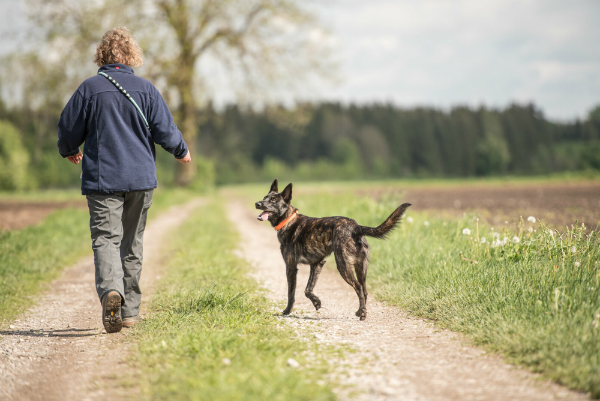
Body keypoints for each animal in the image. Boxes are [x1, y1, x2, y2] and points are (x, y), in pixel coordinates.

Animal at [255, 180, 410, 320]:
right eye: (264, 197)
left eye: (273, 200)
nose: (257, 204)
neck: (288, 220)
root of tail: (356, 227)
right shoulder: (317, 264)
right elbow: (308, 289)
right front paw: (316, 302)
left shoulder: (291, 267)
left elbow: (291, 293)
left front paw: (287, 311)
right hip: (361, 268)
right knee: (364, 290)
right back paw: (361, 311)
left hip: (343, 266)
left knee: (358, 287)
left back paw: (362, 314)